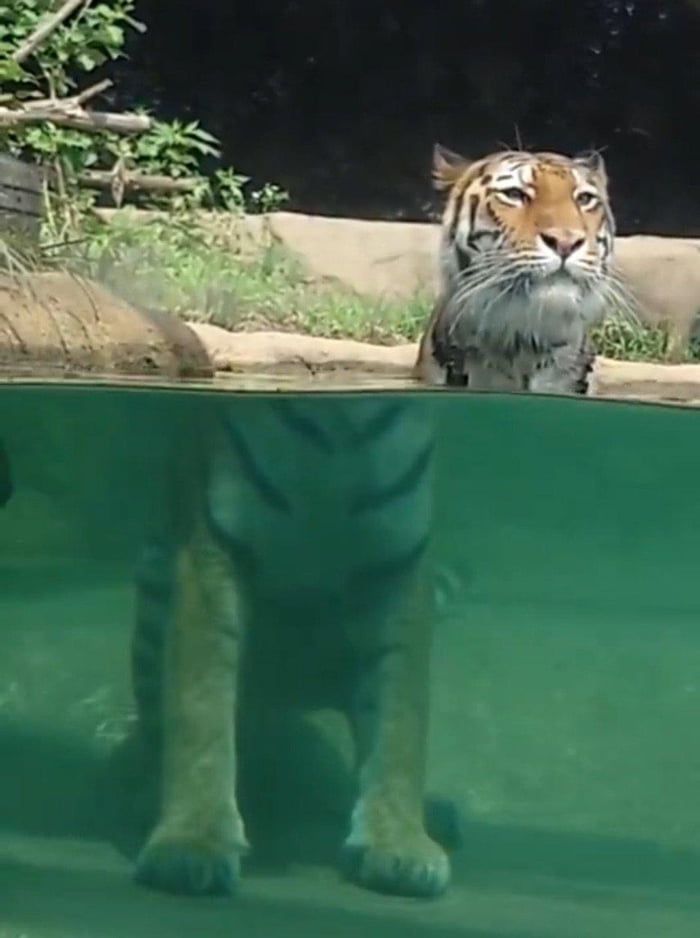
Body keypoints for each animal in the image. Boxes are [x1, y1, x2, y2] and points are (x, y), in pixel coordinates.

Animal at [121, 391, 452, 900]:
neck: (337, 426)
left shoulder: (399, 567)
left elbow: (401, 719)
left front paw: (398, 842)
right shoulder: (212, 550)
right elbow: (200, 704)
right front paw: (192, 842)